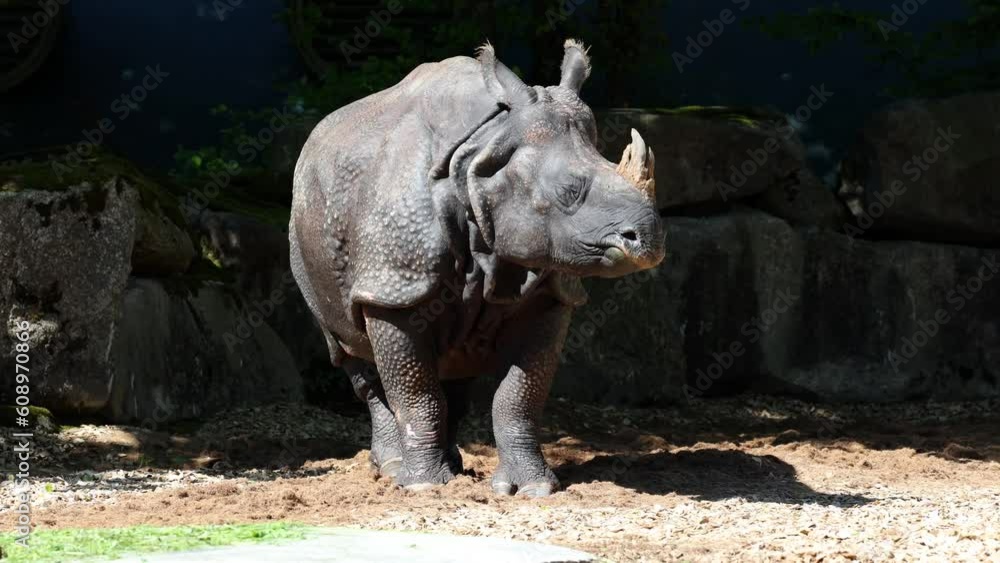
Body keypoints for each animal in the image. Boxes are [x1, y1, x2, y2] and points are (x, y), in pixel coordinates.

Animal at [290, 40, 664, 496]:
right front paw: (424, 487)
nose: (647, 240)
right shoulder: (396, 285)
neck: (483, 155)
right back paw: (396, 470)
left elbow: (519, 394)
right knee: (351, 348)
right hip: (308, 233)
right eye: (568, 192)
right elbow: (415, 392)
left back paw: (450, 465)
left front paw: (531, 489)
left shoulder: (550, 288)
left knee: (456, 361)